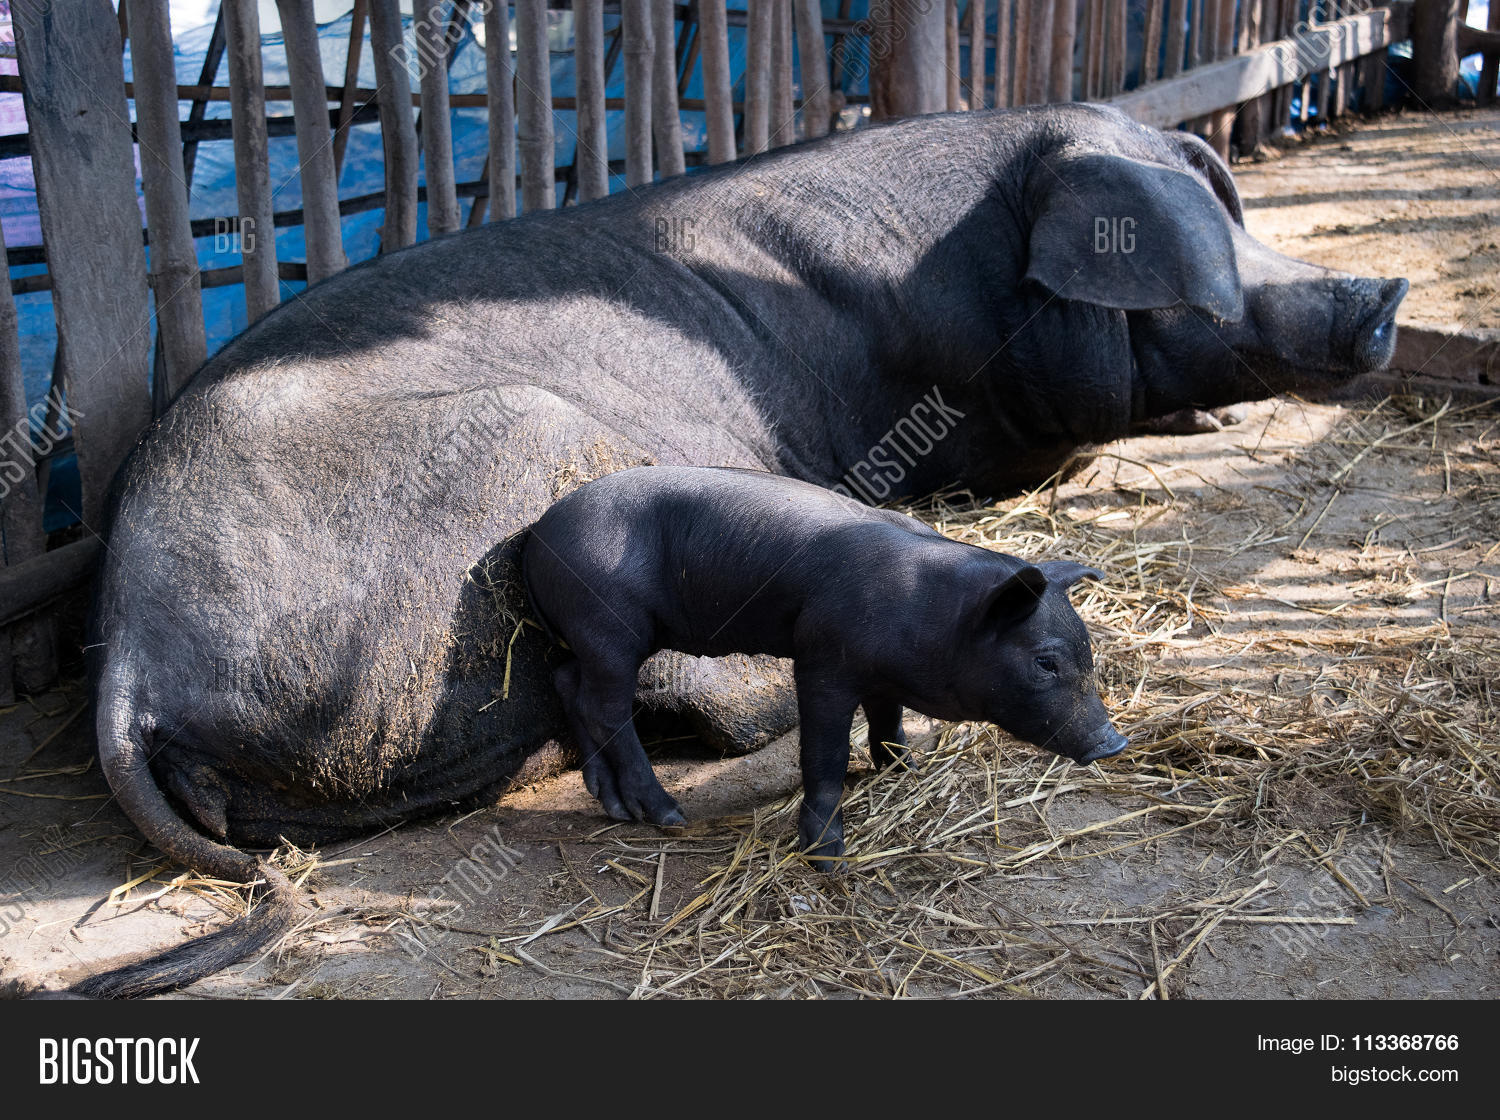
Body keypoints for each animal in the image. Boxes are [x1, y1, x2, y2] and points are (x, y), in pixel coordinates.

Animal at [521, 466, 1126, 866]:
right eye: (1046, 662)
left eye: (1088, 653)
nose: (1113, 743)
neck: (933, 614)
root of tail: (536, 536)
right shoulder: (823, 661)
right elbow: (826, 754)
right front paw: (827, 856)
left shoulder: (885, 676)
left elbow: (887, 719)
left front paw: (905, 769)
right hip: (609, 624)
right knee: (606, 706)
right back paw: (667, 815)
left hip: (593, 638)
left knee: (568, 683)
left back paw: (613, 805)